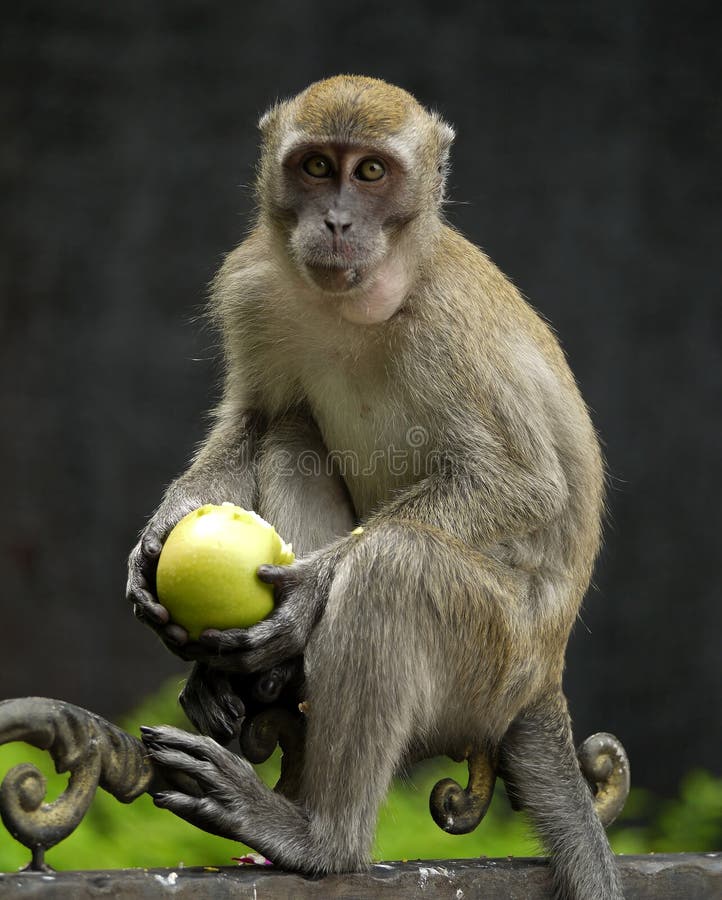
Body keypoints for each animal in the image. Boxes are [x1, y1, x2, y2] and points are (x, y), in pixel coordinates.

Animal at [127, 75, 625, 899]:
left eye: (370, 174)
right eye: (316, 166)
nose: (336, 221)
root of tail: (542, 682)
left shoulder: (446, 328)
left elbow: (522, 485)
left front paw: (311, 588)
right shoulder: (253, 285)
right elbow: (252, 418)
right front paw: (162, 531)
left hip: (492, 657)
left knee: (395, 570)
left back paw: (317, 837)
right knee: (290, 431)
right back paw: (267, 676)